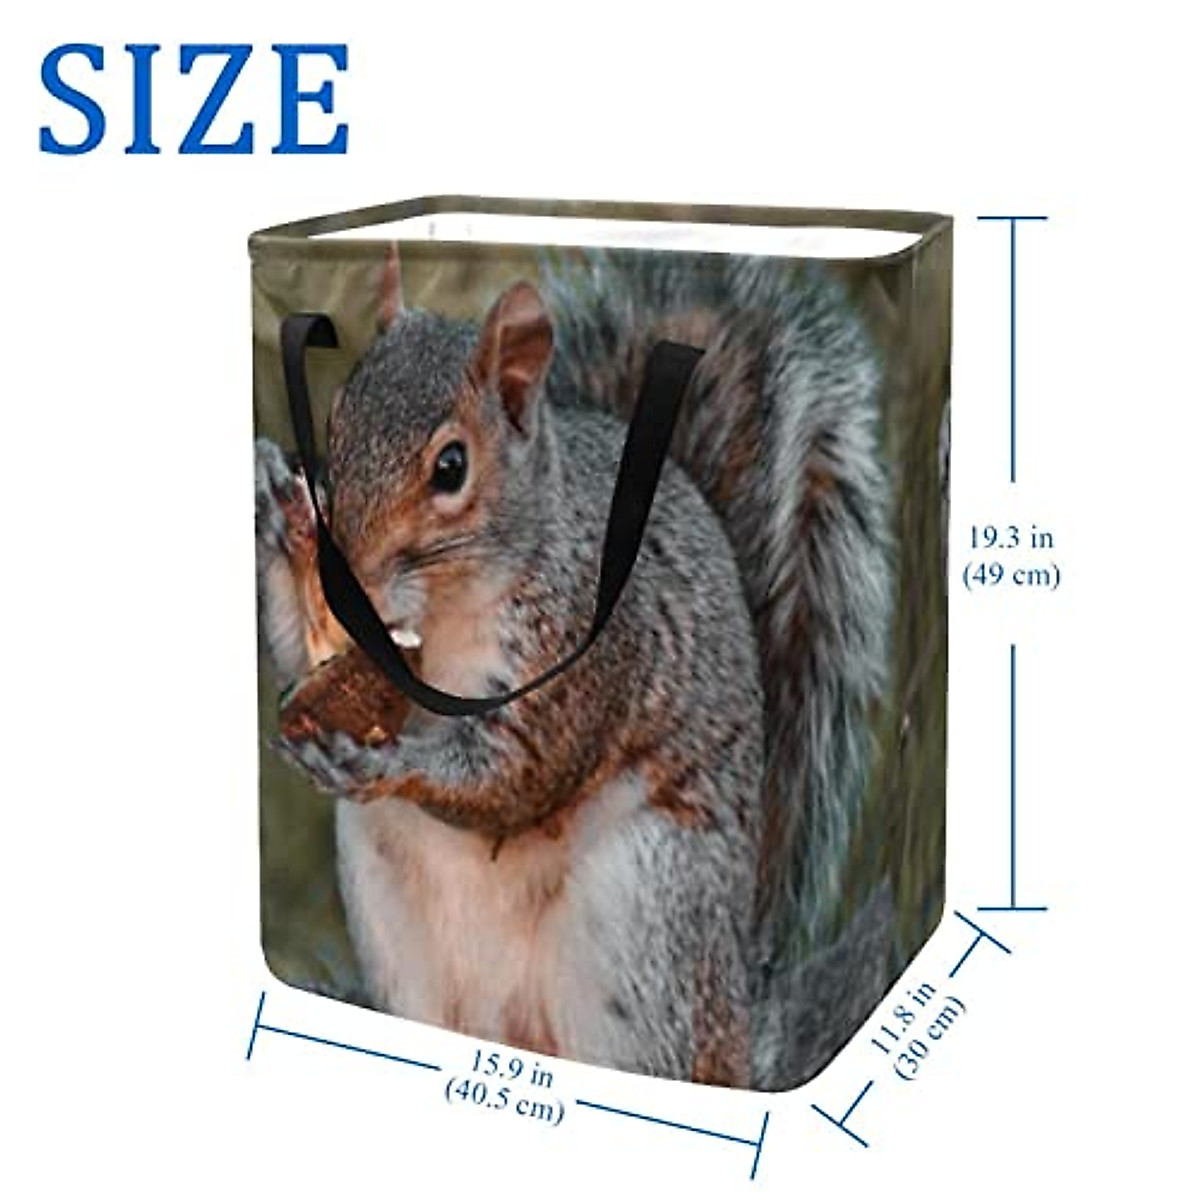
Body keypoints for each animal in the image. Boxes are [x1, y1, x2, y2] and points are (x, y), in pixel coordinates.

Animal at [254, 248, 893, 1089]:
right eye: (336, 423)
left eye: (451, 467)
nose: (340, 577)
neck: (453, 603)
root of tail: (737, 1029)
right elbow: (310, 651)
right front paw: (278, 511)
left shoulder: (585, 653)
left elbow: (523, 774)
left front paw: (389, 760)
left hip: (642, 915)